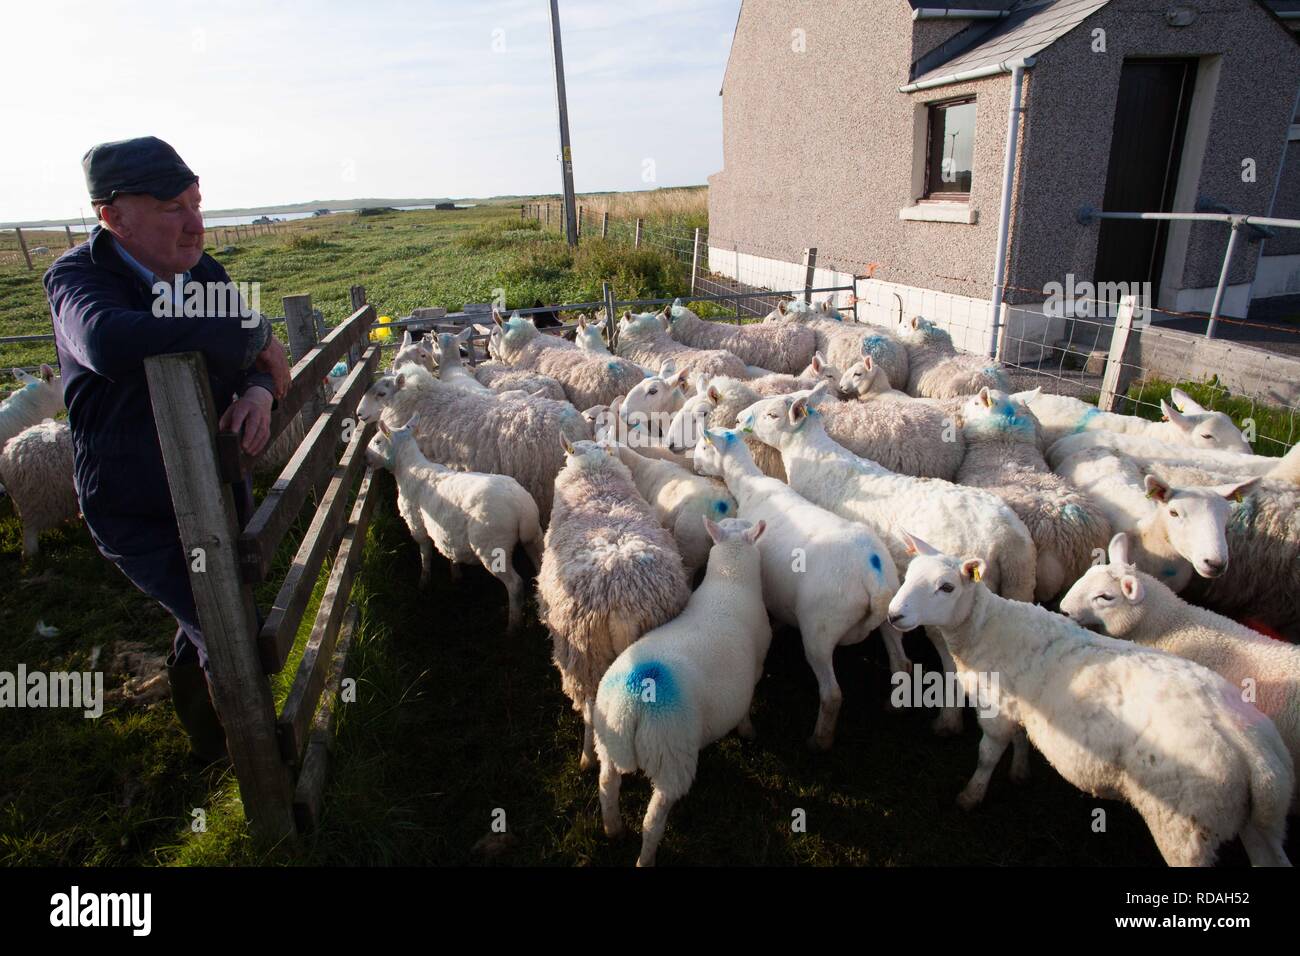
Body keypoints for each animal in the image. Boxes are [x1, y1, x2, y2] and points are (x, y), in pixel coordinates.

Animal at [379, 414, 542, 631]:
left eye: (377, 441)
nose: (366, 458)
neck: (410, 467)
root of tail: (521, 507)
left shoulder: (417, 524)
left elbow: (425, 553)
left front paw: (424, 582)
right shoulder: (447, 529)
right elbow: (448, 549)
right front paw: (455, 574)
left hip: (493, 548)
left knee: (515, 585)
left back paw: (512, 627)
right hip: (533, 537)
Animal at [594, 517, 771, 866]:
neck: (730, 582)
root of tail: (632, 702)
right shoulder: (756, 667)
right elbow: (746, 706)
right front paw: (748, 731)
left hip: (606, 736)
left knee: (607, 785)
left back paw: (614, 829)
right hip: (671, 757)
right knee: (652, 820)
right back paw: (645, 858)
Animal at [692, 427, 902, 749]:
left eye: (704, 446)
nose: (693, 465)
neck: (751, 484)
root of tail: (874, 574)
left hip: (821, 628)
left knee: (832, 694)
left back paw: (819, 741)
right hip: (894, 614)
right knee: (902, 662)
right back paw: (892, 706)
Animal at [741, 385, 1036, 733]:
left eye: (772, 414)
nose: (739, 419)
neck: (818, 458)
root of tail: (1008, 540)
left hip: (950, 611)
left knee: (952, 665)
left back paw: (947, 720)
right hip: (1019, 590)